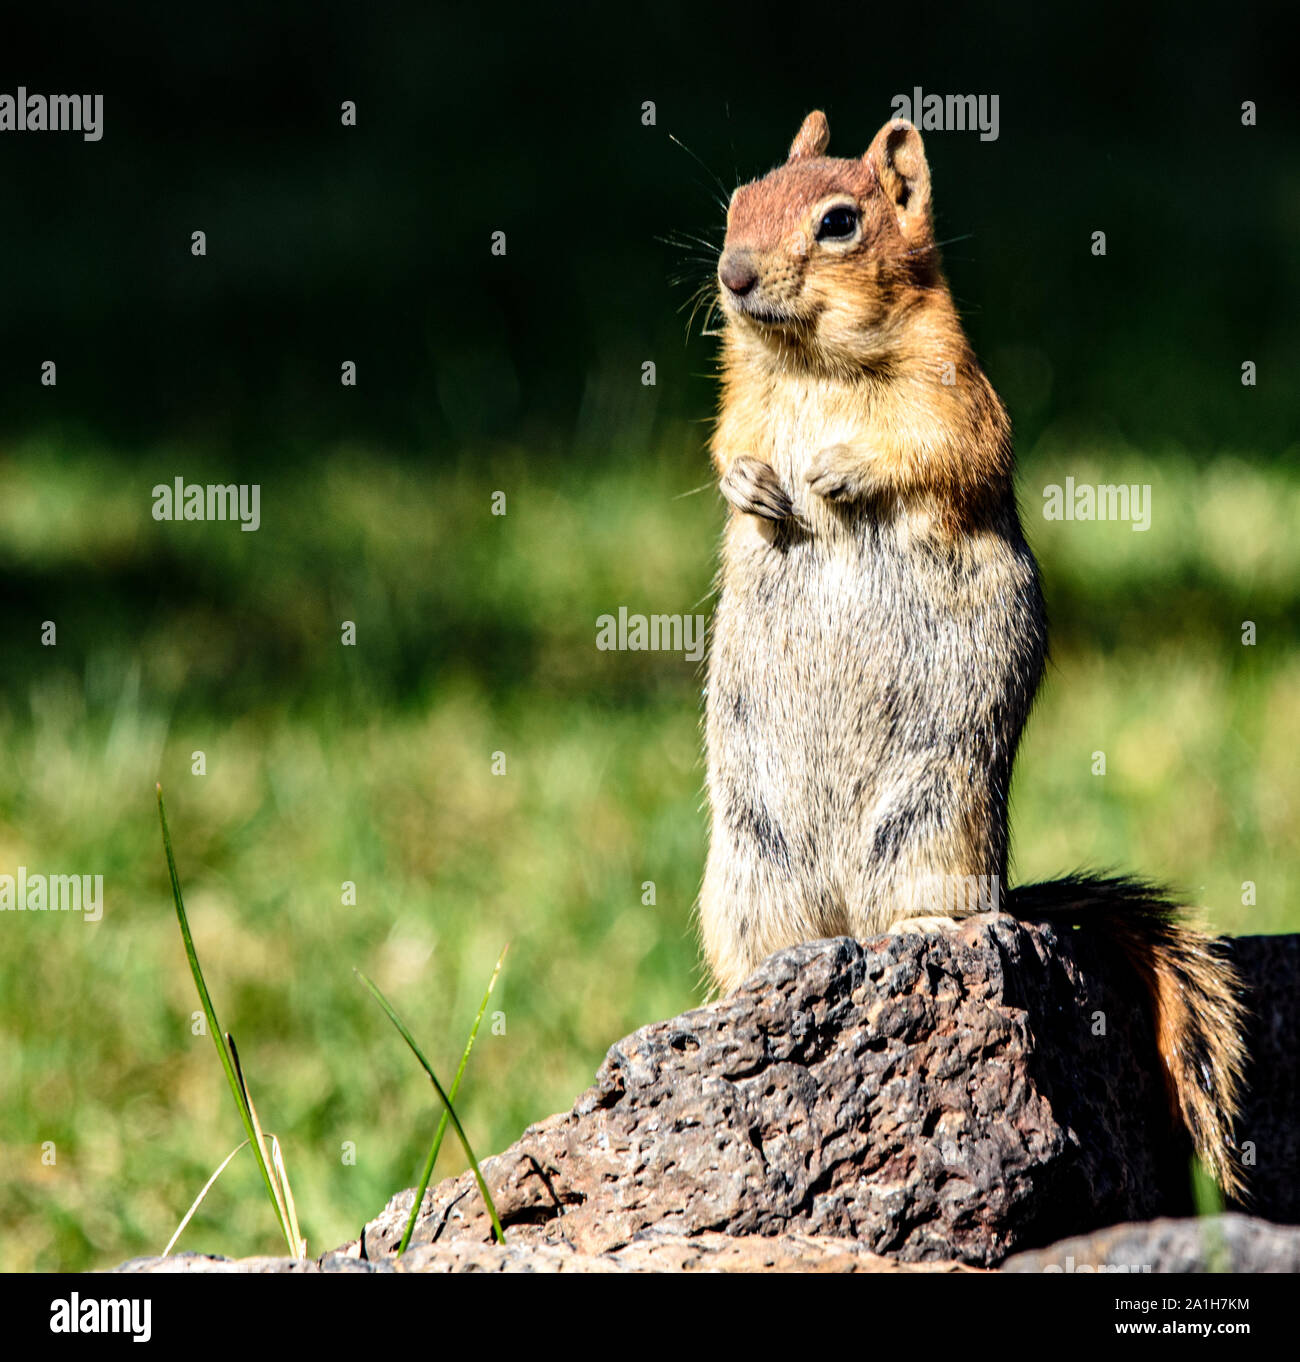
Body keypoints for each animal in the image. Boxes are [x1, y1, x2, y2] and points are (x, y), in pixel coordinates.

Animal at [699, 109, 1247, 1199]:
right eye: (738, 200)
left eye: (838, 221)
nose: (733, 276)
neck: (812, 366)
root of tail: (847, 917)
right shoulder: (741, 406)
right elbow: (725, 448)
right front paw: (756, 485)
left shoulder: (958, 398)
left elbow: (935, 452)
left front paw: (835, 469)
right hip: (747, 866)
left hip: (935, 817)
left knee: (935, 912)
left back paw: (921, 932)